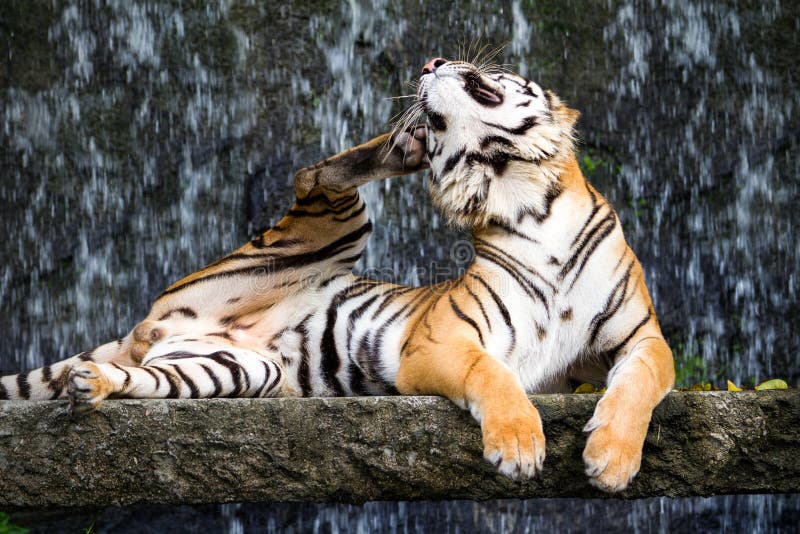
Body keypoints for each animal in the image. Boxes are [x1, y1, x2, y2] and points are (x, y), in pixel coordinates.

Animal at [0, 58, 674, 493]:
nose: (432, 59)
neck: (517, 190)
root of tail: (148, 326)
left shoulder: (641, 337)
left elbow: (639, 384)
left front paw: (612, 460)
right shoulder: (439, 340)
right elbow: (493, 374)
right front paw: (517, 444)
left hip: (229, 369)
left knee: (145, 380)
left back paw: (94, 384)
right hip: (331, 230)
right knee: (314, 177)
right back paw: (401, 147)